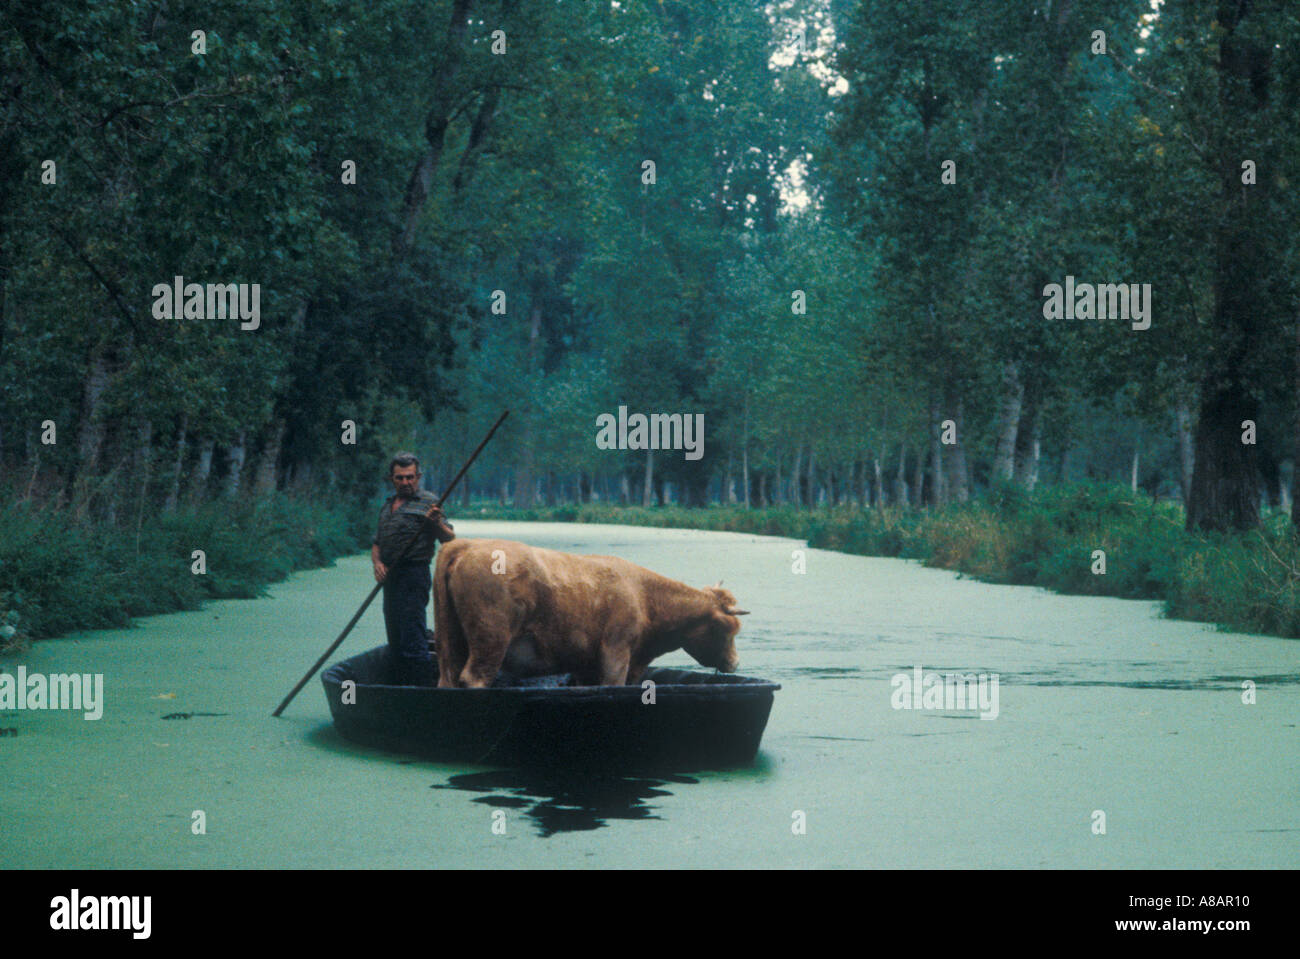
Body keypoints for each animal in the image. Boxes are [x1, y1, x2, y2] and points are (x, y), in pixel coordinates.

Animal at [431, 538, 749, 688]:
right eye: (730, 629)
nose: (735, 663)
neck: (646, 598)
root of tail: (468, 544)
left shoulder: (585, 664)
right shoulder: (616, 651)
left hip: (451, 643)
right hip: (491, 638)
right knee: (475, 677)